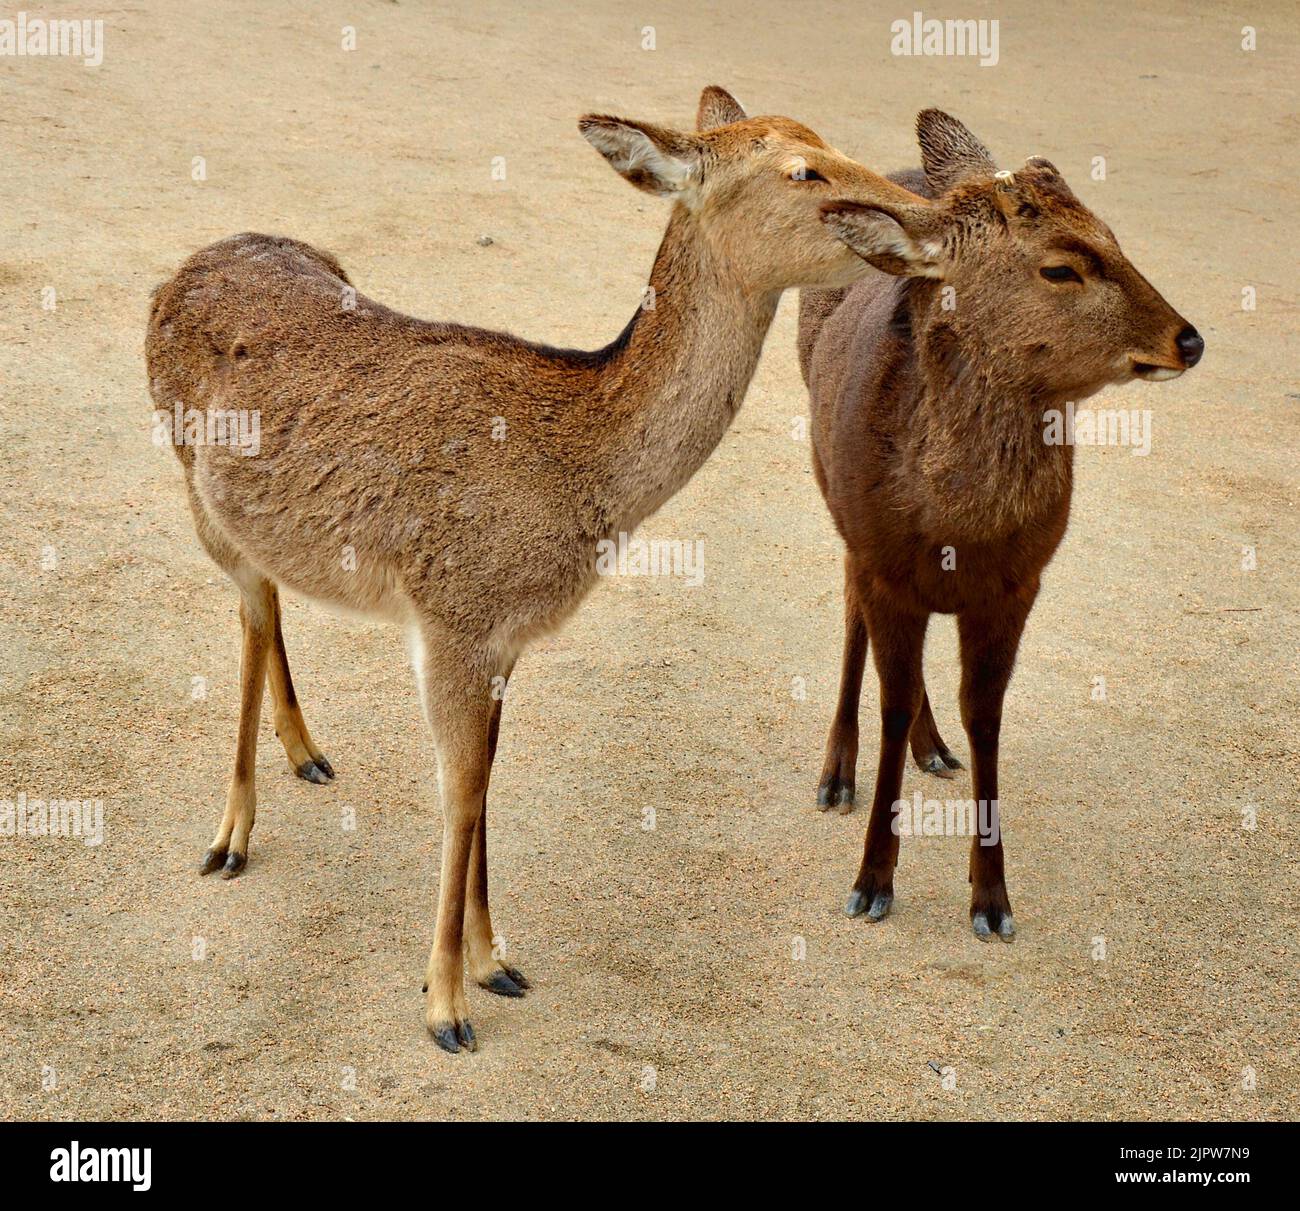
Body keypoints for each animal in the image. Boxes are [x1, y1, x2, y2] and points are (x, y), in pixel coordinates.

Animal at [145, 87, 938, 1053]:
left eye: (822, 141)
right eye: (802, 170)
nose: (921, 215)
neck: (576, 467)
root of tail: (183, 267)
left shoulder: (506, 637)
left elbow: (488, 781)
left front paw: (496, 961)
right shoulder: (452, 618)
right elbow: (459, 793)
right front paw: (447, 1005)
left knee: (271, 599)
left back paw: (308, 753)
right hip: (192, 486)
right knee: (252, 612)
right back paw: (230, 836)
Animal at [798, 110, 1203, 942]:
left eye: (1114, 235)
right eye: (1061, 268)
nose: (1188, 339)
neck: (959, 531)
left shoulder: (1021, 582)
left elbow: (983, 713)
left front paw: (991, 898)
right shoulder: (884, 563)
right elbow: (889, 700)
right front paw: (871, 882)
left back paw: (934, 751)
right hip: (834, 497)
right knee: (851, 616)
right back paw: (836, 775)